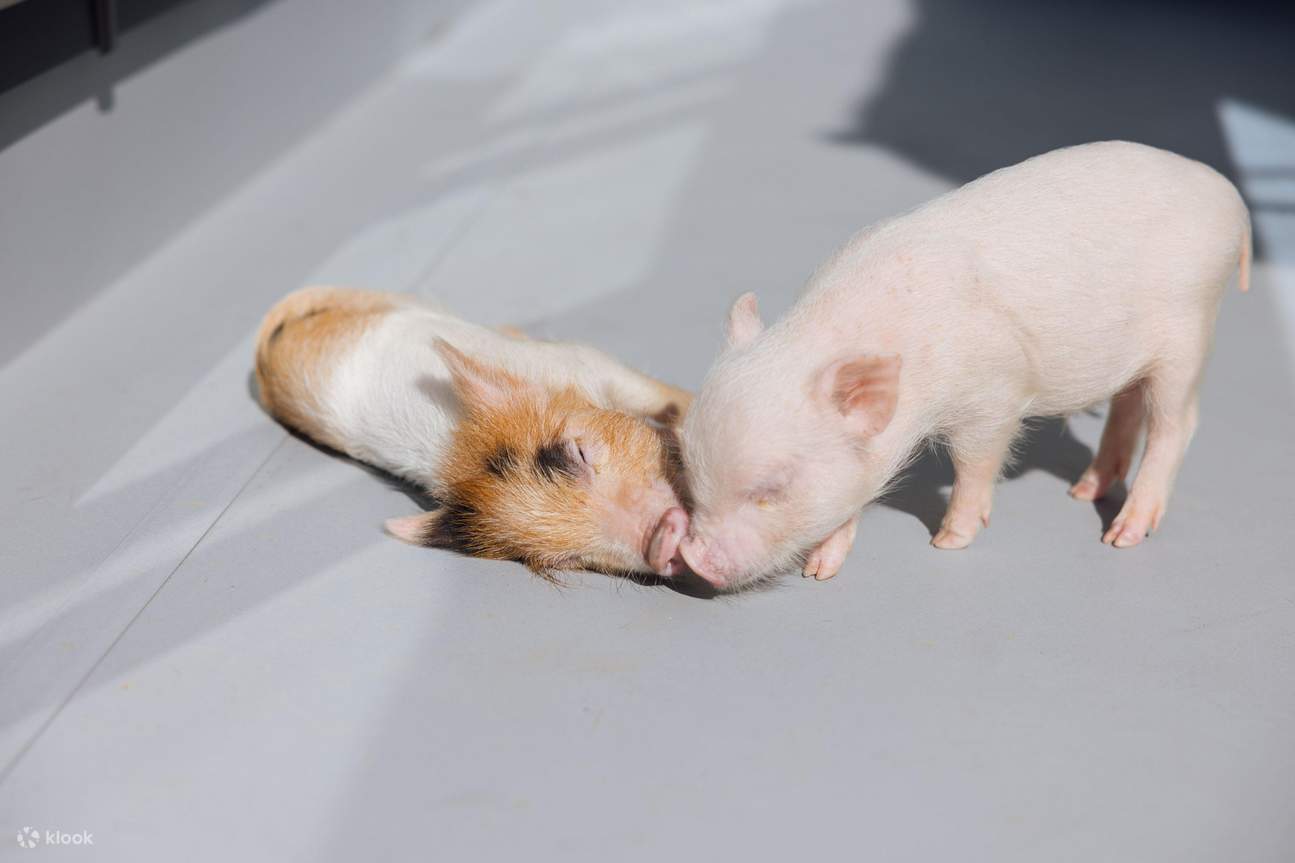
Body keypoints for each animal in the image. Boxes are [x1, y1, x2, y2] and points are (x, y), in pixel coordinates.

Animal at [255, 286, 692, 579]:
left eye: (578, 454)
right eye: (567, 560)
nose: (661, 542)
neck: (455, 440)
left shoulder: (584, 362)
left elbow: (658, 396)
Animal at [677, 141, 1251, 590]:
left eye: (770, 490)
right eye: (691, 470)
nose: (691, 558)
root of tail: (1229, 196)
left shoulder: (994, 397)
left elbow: (975, 464)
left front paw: (947, 542)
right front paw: (820, 573)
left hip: (1190, 332)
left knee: (1176, 425)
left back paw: (1121, 537)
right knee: (1128, 407)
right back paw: (1082, 492)